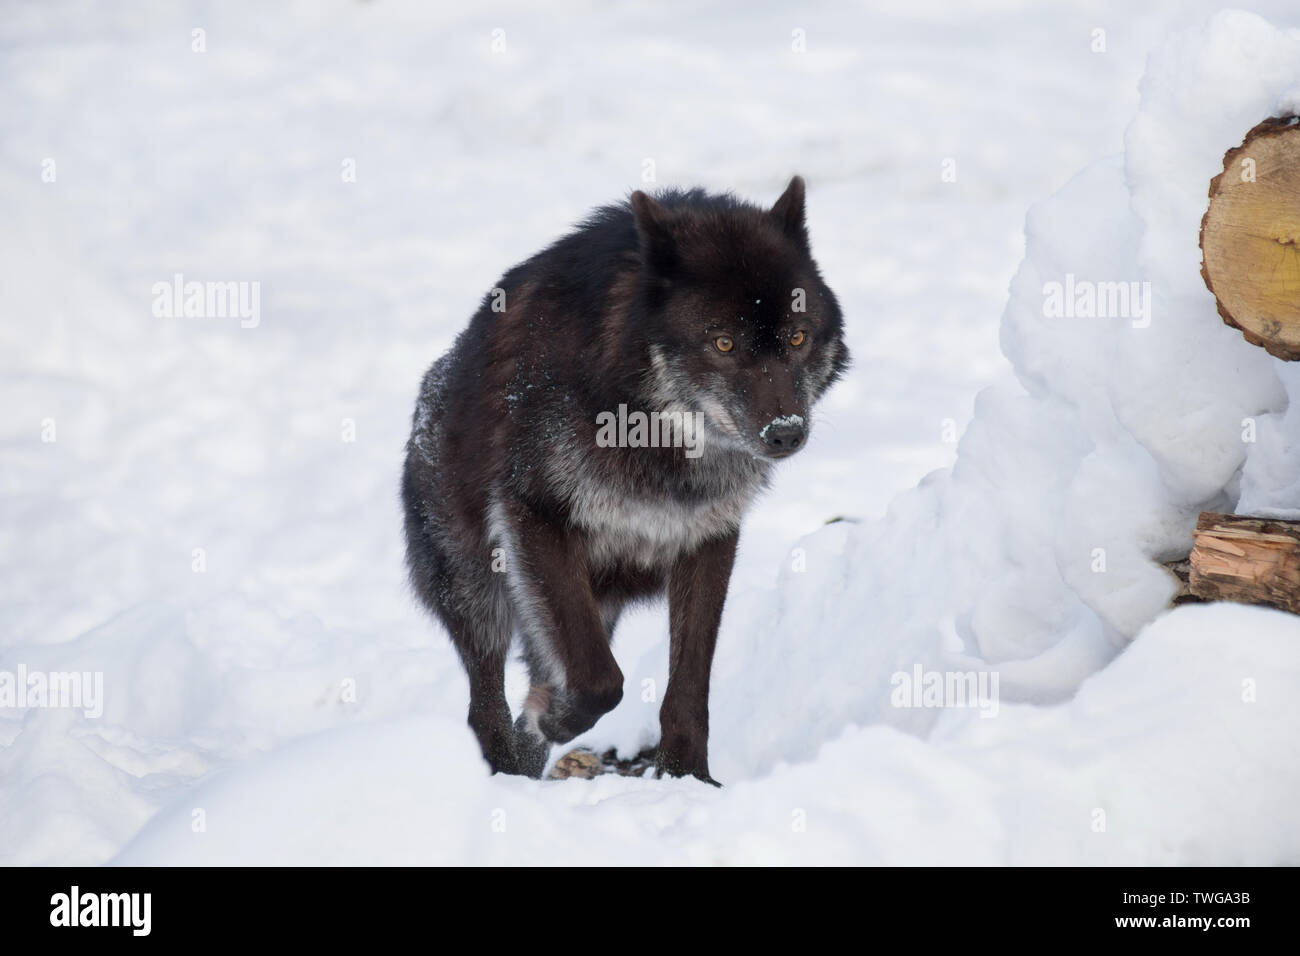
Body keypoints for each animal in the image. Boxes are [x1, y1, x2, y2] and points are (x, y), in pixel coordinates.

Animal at [402, 176, 848, 783]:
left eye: (798, 337)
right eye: (723, 343)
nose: (785, 433)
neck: (657, 441)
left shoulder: (707, 538)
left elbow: (688, 687)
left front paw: (687, 777)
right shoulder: (536, 517)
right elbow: (600, 680)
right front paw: (555, 719)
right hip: (481, 590)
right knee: (485, 706)